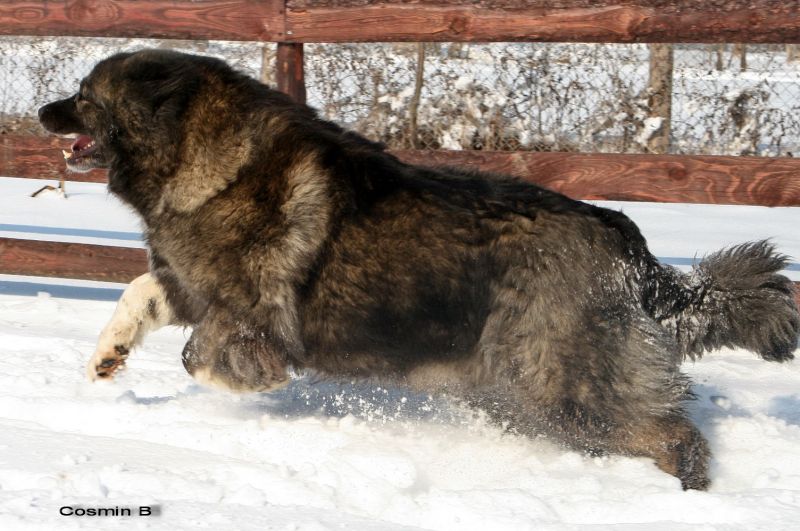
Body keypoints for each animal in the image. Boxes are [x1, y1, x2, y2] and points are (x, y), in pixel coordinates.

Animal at [40, 50, 796, 490]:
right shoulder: (192, 284)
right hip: (524, 389)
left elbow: (204, 356)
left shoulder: (245, 313)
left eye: (84, 94)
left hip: (561, 386)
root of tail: (628, 248)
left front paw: (255, 384)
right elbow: (139, 293)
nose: (44, 110)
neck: (201, 157)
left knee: (675, 436)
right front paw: (105, 360)